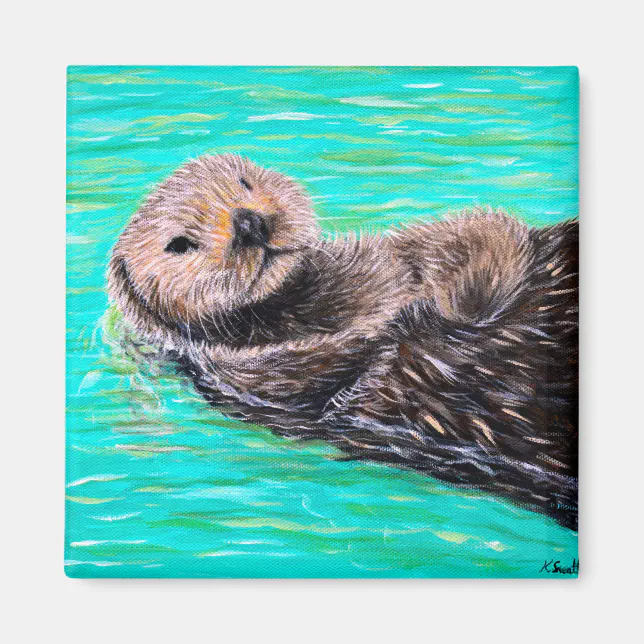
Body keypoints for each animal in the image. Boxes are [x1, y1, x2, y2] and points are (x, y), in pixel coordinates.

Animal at [108, 154, 578, 529]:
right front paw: (439, 309)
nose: (248, 223)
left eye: (244, 182)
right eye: (179, 244)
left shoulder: (397, 252)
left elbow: (470, 232)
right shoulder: (264, 376)